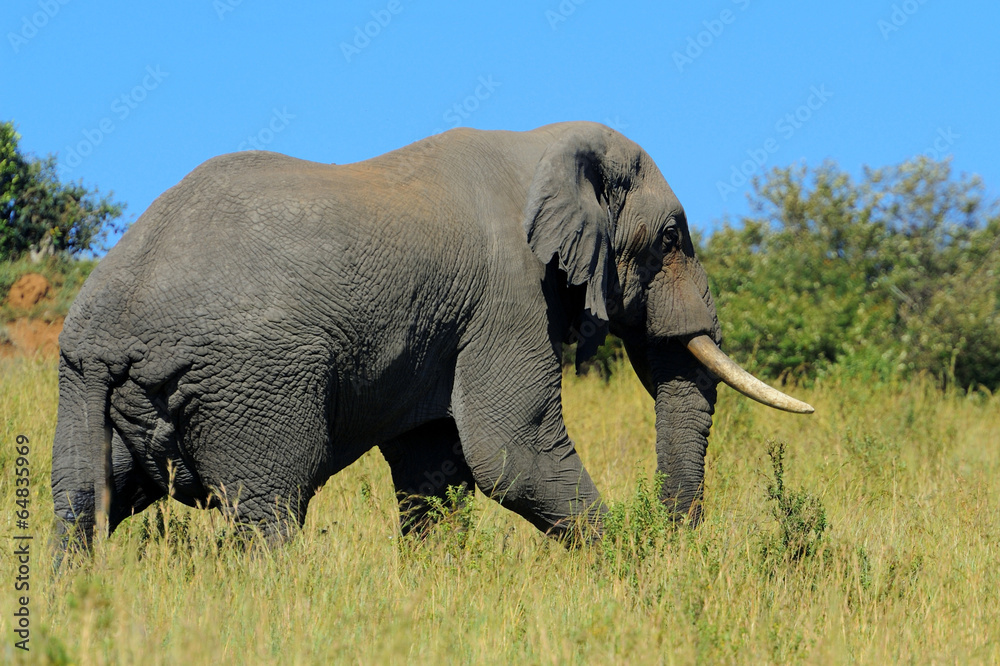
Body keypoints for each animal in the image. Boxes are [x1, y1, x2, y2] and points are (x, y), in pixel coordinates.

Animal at [51, 121, 812, 552]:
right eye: (672, 237)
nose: (675, 541)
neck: (541, 147)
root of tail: (112, 325)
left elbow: (435, 468)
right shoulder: (510, 295)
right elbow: (512, 451)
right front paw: (635, 564)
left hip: (81, 386)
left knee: (82, 500)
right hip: (253, 383)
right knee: (268, 506)